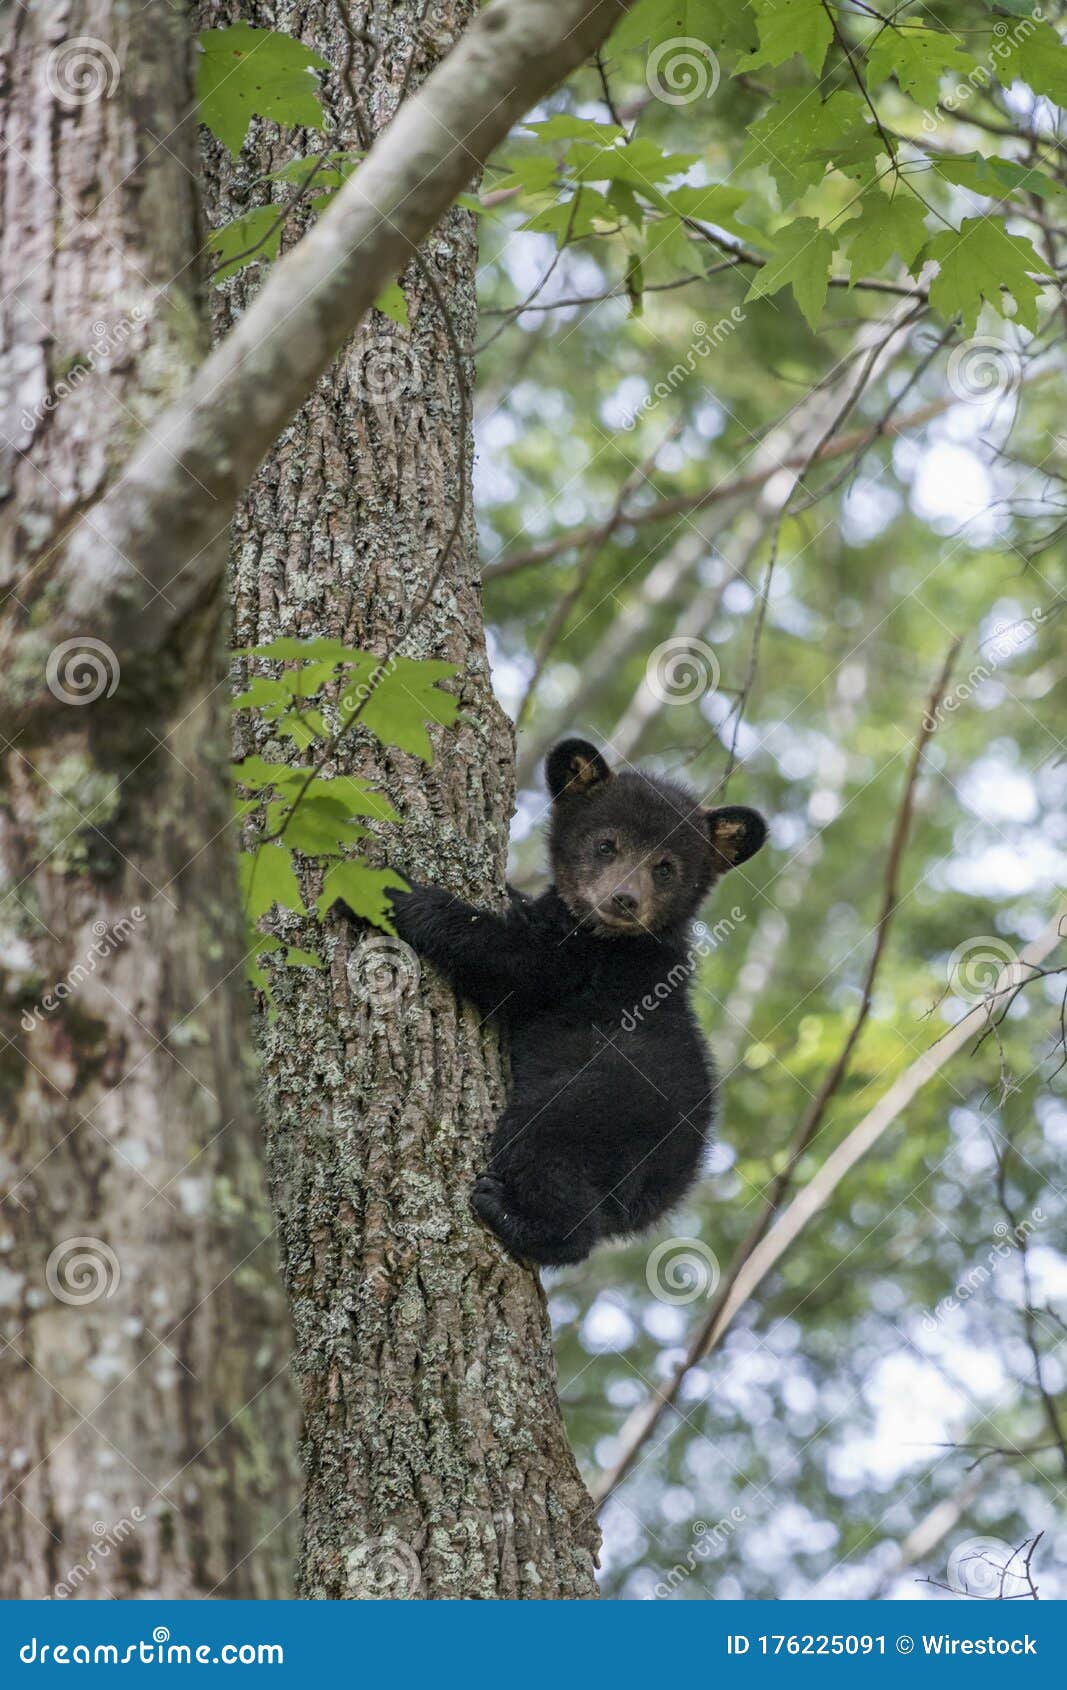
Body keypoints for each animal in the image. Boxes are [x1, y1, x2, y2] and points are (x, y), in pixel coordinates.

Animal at [364, 739, 766, 1267]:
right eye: (606, 845)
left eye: (665, 867)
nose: (624, 899)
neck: (610, 936)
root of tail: (660, 1191)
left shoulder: (586, 967)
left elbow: (511, 961)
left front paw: (393, 891)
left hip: (600, 1105)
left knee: (545, 1154)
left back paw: (515, 1217)